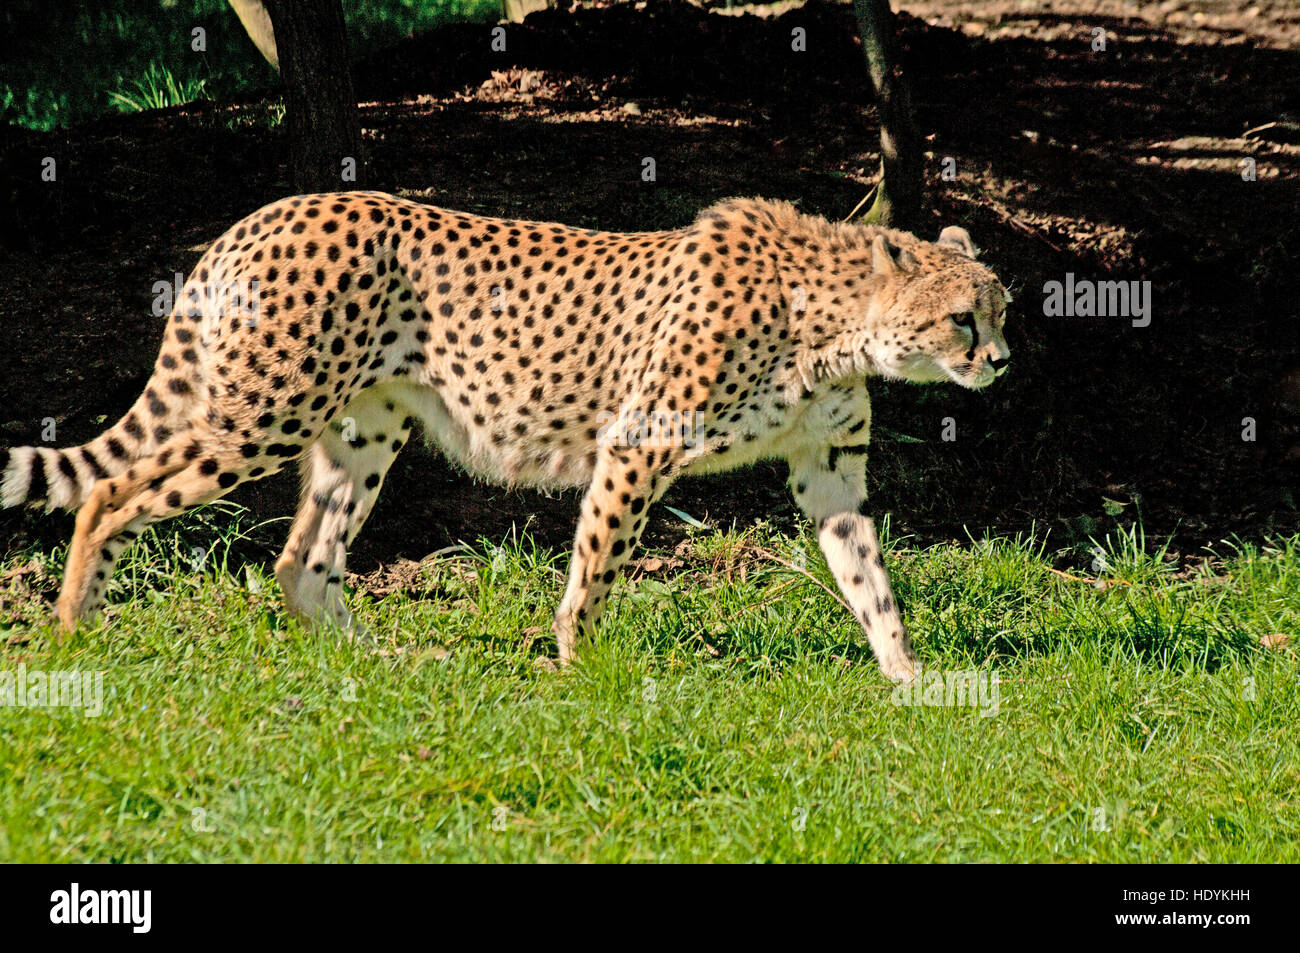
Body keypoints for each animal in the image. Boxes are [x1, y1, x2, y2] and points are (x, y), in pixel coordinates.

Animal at [0, 193, 1011, 681]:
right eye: (963, 317)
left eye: (1002, 308)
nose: (1001, 360)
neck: (836, 320)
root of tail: (267, 212)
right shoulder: (637, 444)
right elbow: (597, 566)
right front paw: (577, 669)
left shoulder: (827, 470)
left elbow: (868, 576)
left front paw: (909, 676)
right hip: (264, 414)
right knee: (108, 493)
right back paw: (73, 630)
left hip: (361, 432)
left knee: (301, 561)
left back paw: (384, 663)